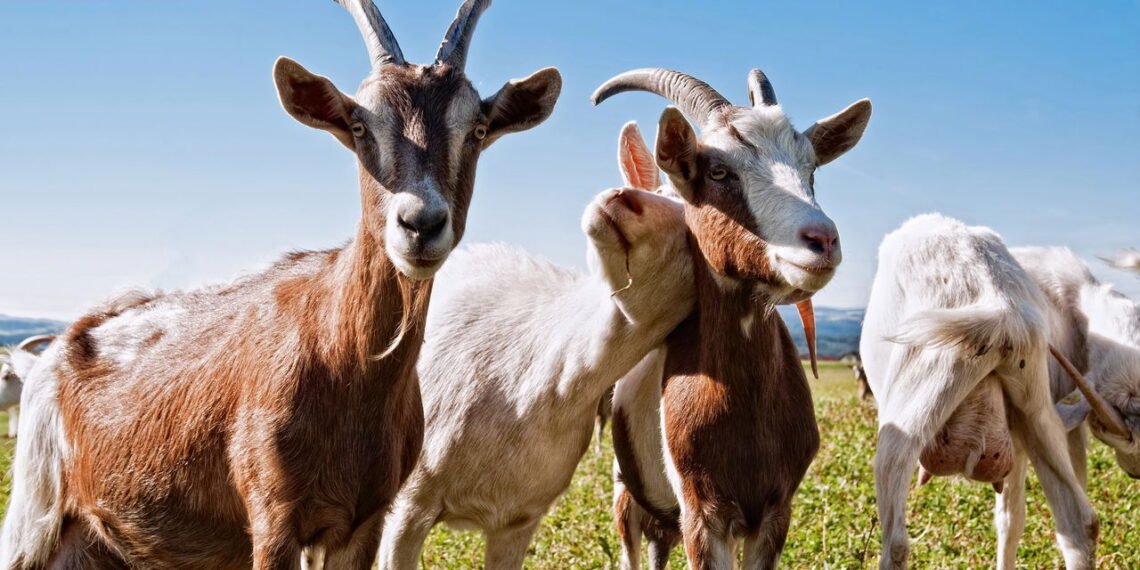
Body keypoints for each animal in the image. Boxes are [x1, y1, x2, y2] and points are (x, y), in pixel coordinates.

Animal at [0, 1, 561, 568]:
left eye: (477, 129)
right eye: (360, 125)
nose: (420, 224)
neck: (343, 363)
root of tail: (66, 345)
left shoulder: (365, 519)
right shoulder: (272, 514)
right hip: (33, 512)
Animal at [594, 68, 871, 568]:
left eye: (811, 170)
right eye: (719, 171)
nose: (822, 240)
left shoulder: (775, 511)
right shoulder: (703, 515)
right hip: (627, 494)